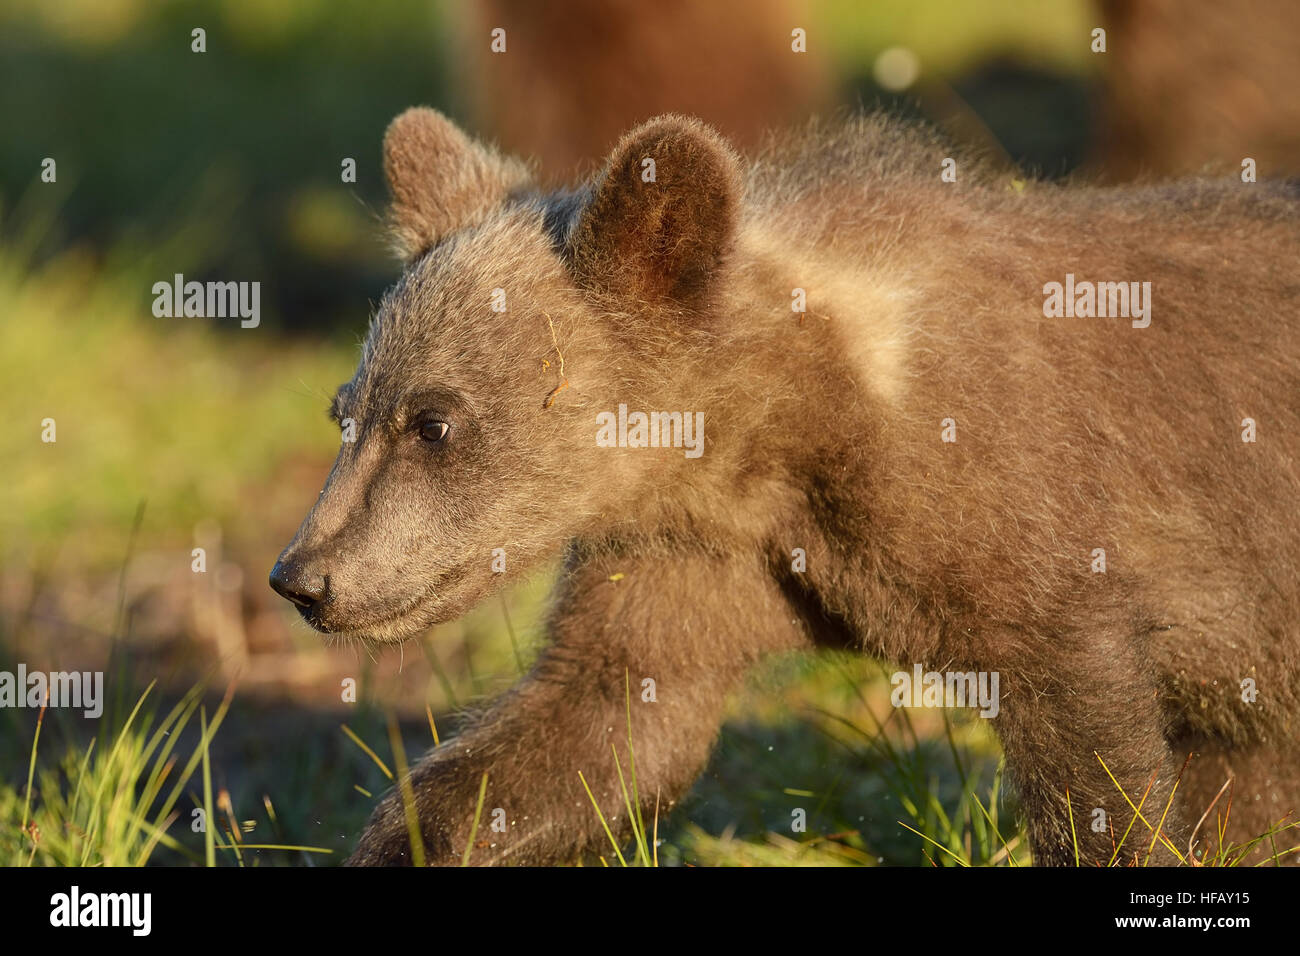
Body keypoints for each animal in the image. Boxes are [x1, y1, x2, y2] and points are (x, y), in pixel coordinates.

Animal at [269, 106, 1300, 866]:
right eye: (346, 409)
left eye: (433, 421)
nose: (301, 576)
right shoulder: (700, 549)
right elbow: (605, 718)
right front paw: (399, 837)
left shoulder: (1028, 517)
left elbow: (1094, 746)